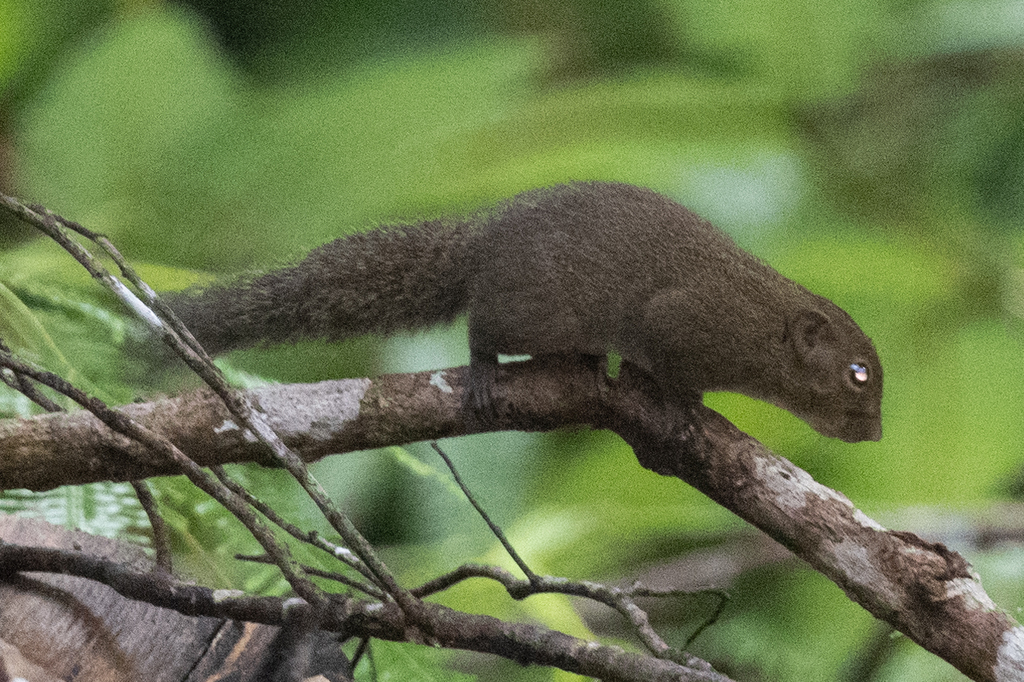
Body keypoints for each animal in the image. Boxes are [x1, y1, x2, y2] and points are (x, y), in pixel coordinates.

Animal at [168, 181, 882, 442]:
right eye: (858, 375)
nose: (875, 434)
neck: (764, 328)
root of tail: (479, 246)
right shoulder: (680, 320)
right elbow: (673, 374)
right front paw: (686, 409)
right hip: (535, 308)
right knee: (482, 327)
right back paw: (484, 370)